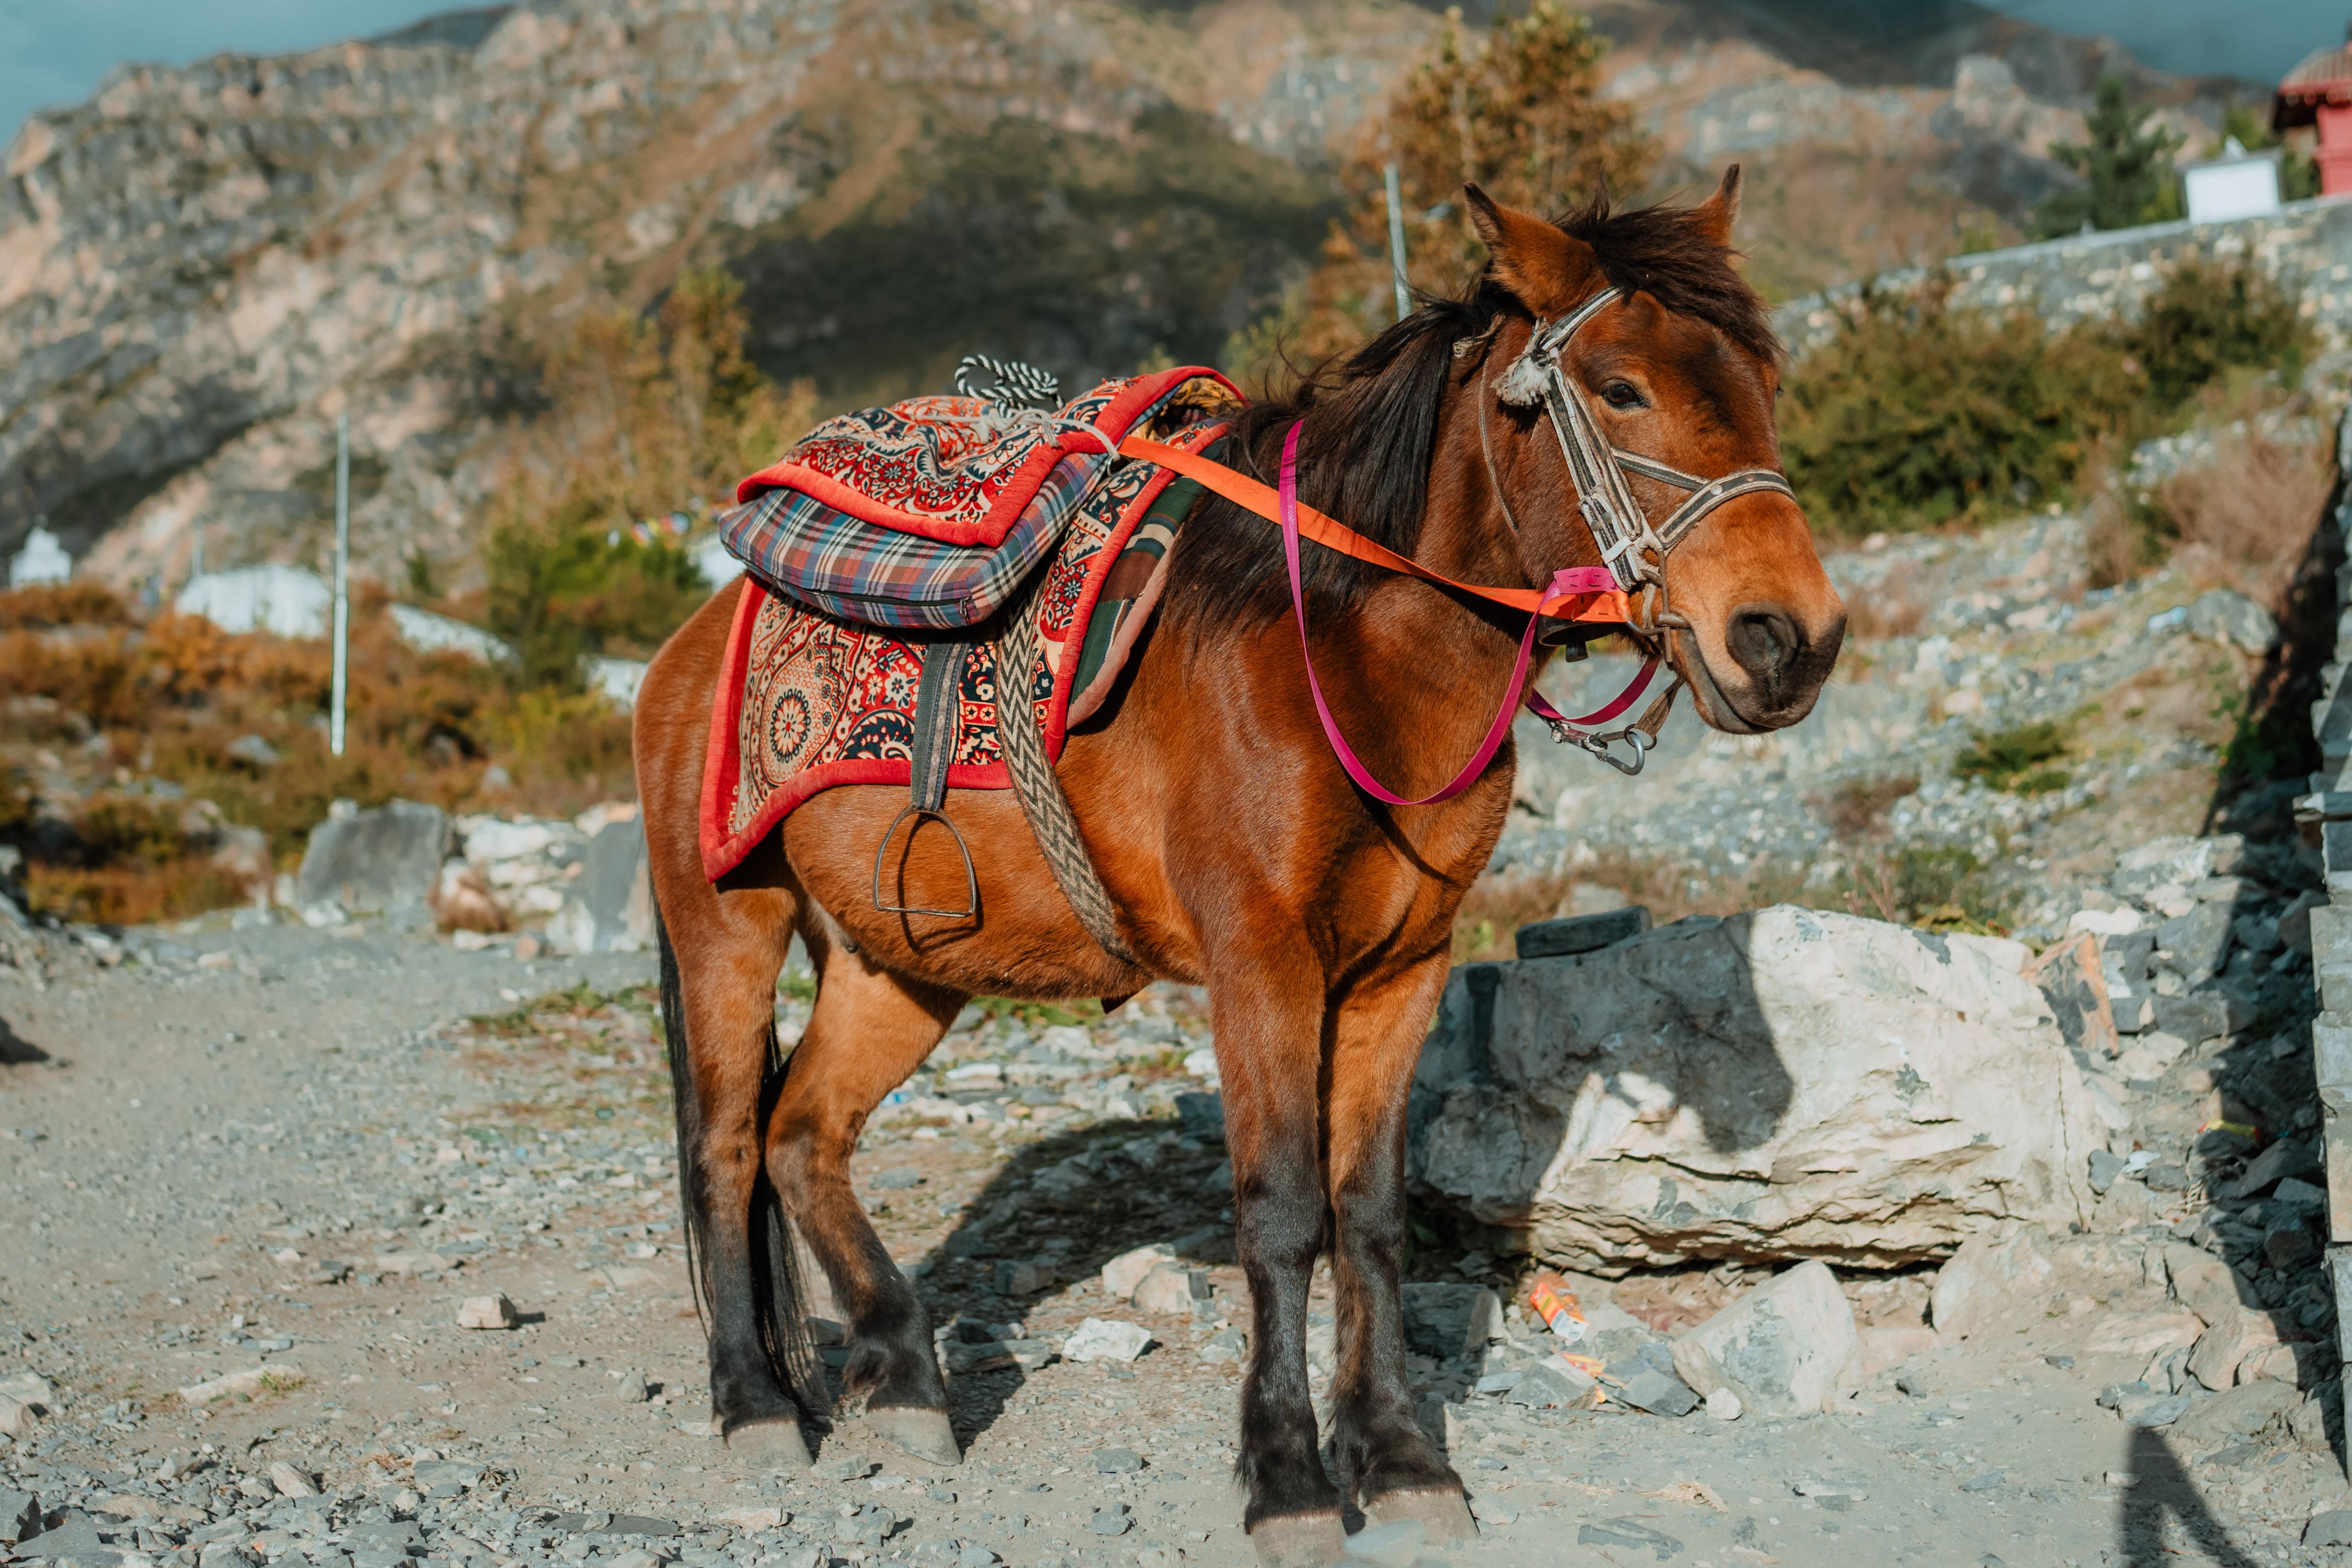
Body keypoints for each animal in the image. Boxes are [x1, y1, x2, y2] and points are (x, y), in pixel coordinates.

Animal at [634, 168, 1846, 1567]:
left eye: (1764, 378)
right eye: (1620, 386)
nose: (1791, 641)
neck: (1343, 655)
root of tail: (687, 642)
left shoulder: (1399, 969)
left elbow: (1367, 1212)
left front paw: (1403, 1459)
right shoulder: (1261, 959)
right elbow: (1280, 1212)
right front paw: (1288, 1478)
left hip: (904, 963)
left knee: (805, 1135)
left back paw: (903, 1377)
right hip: (727, 926)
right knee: (727, 1148)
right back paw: (755, 1404)